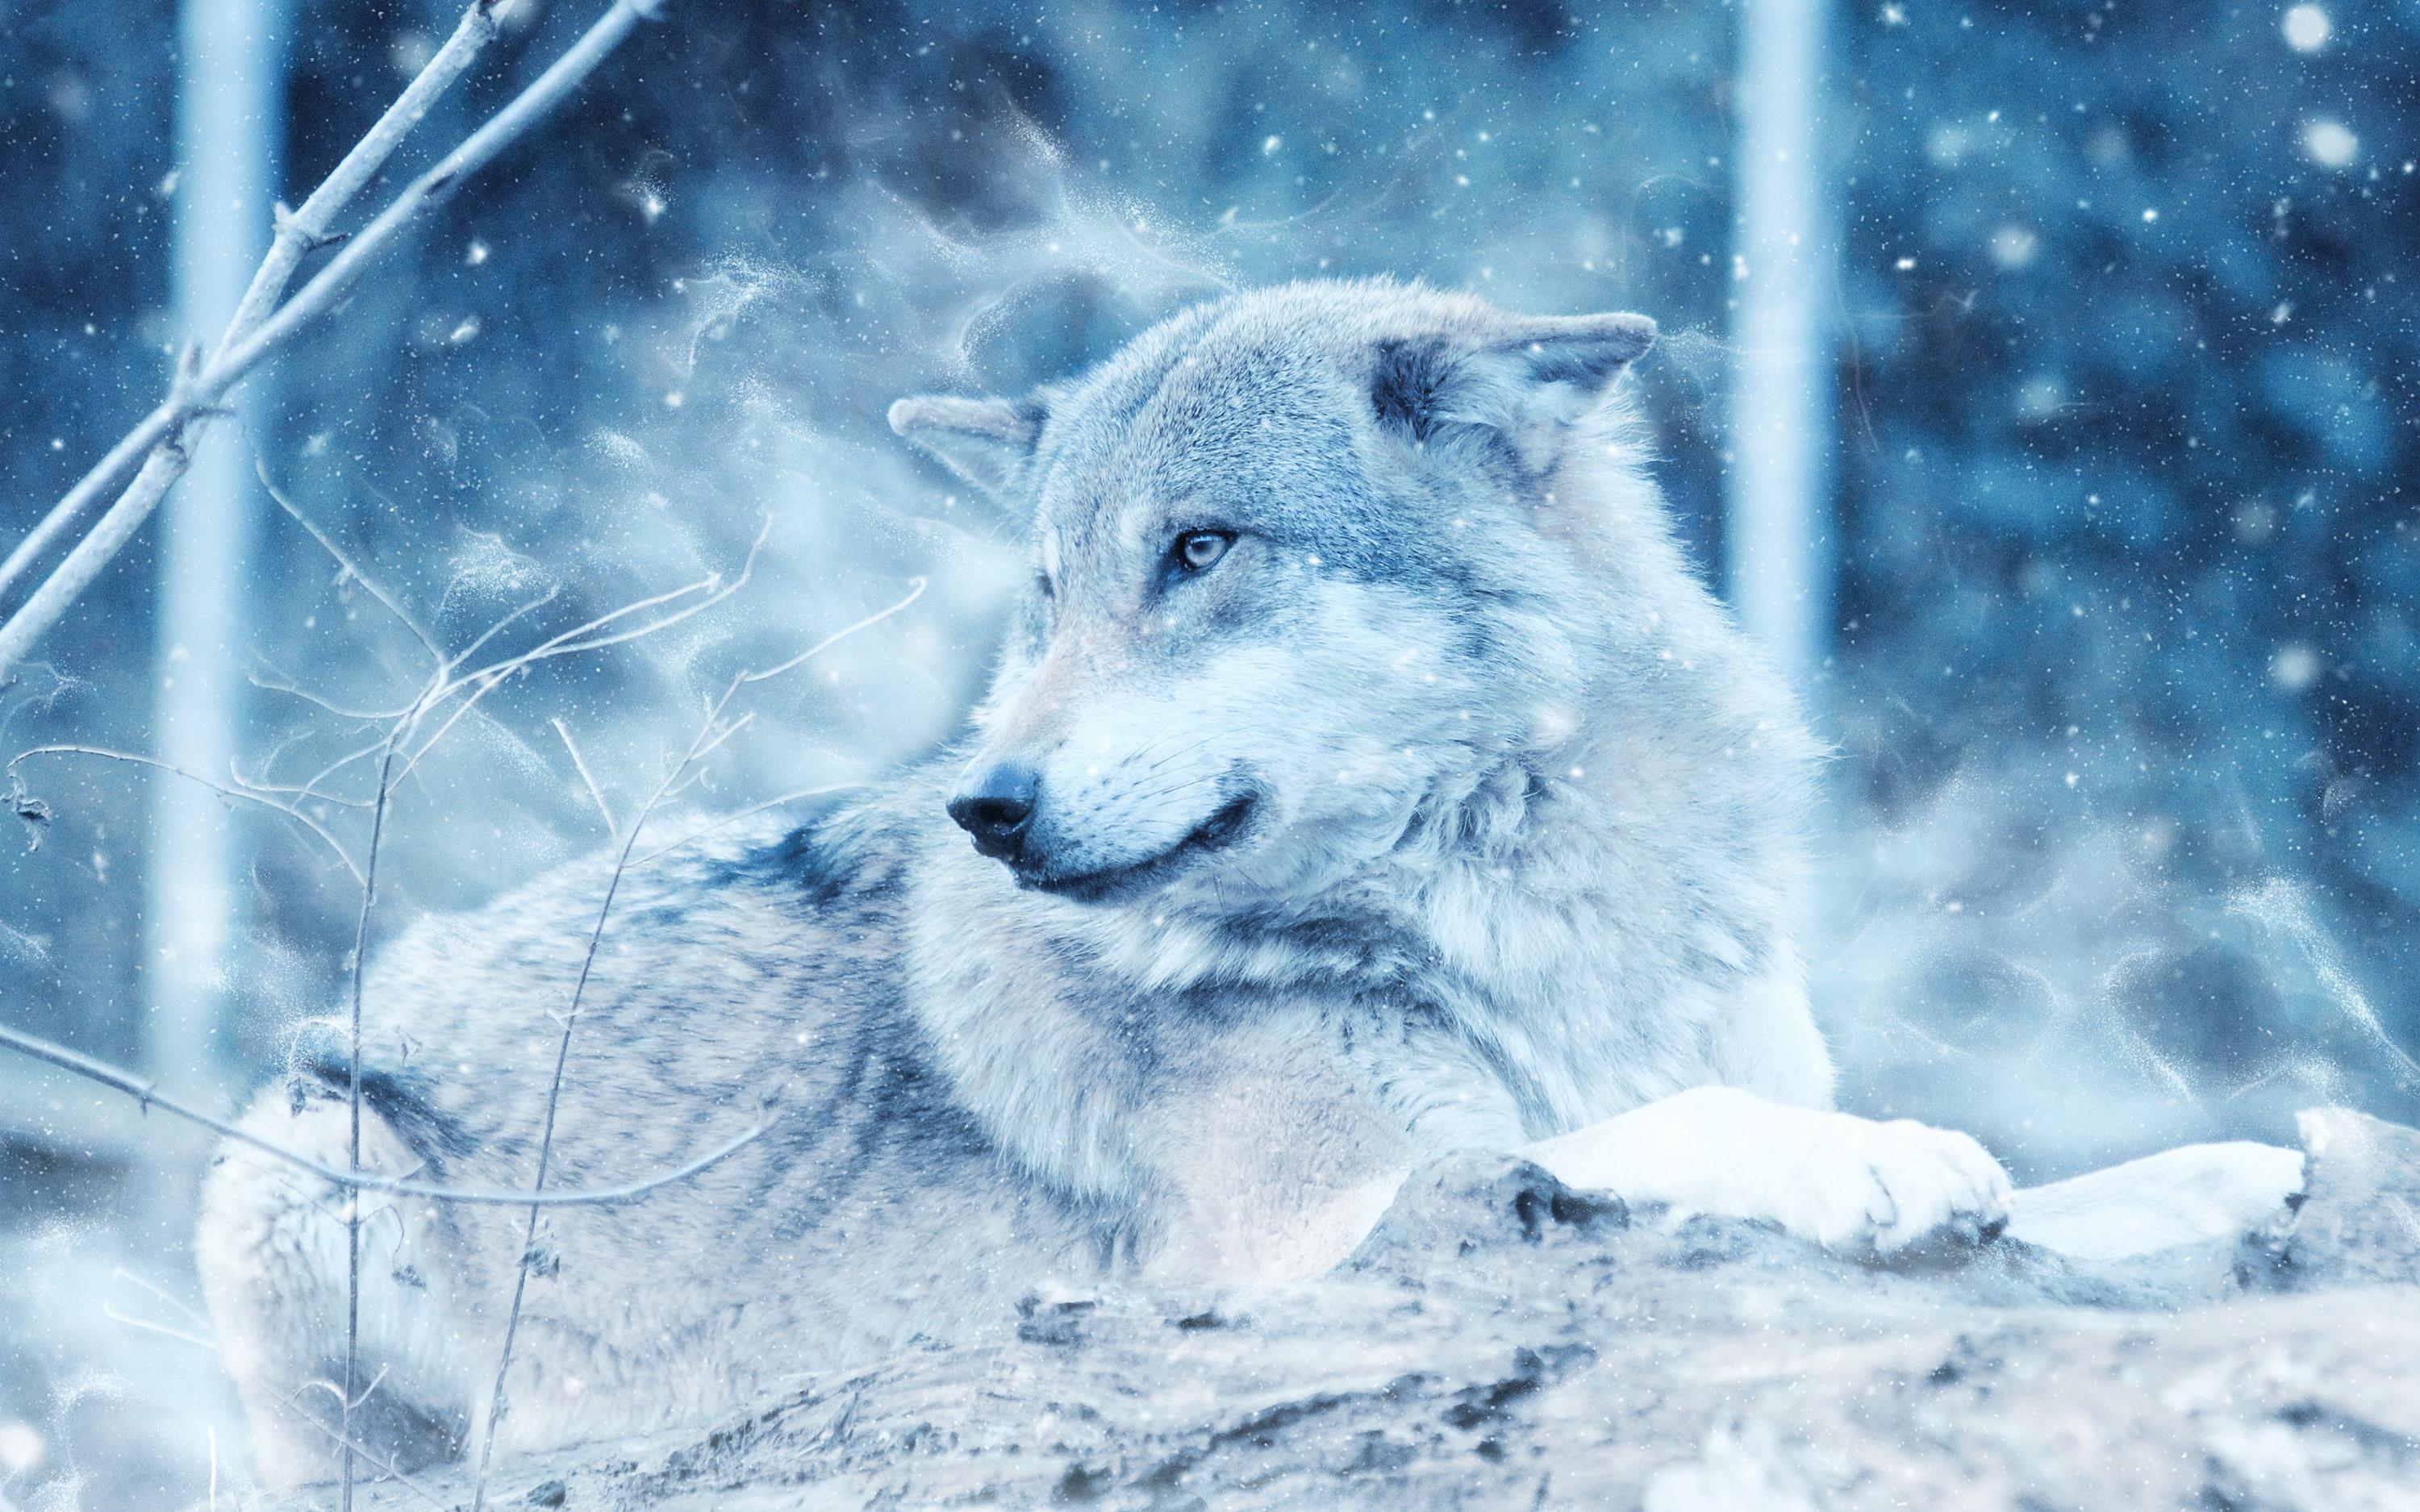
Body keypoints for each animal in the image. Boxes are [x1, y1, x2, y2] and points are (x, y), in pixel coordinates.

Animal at [201, 278, 2064, 1483]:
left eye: (1200, 550)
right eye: (1045, 590)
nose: (985, 805)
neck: (1533, 916)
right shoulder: (1315, 1226)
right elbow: (1676, 1126)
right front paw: (1887, 1159)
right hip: (305, 1148)